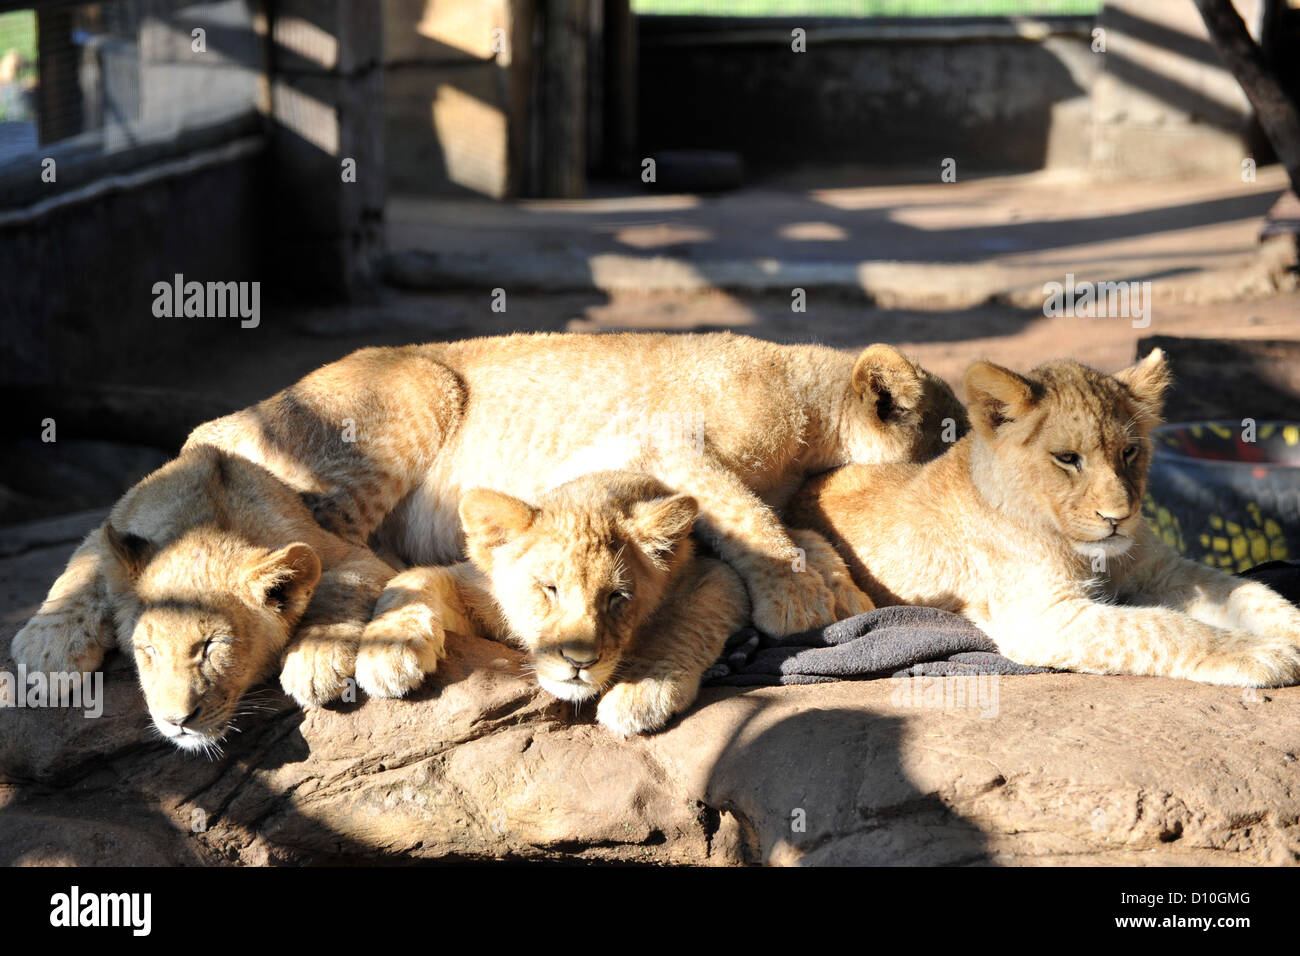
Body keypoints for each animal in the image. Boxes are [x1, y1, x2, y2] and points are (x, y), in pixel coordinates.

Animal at [357, 471, 873, 735]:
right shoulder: (475, 587)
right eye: (549, 590)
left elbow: (684, 627)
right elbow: (412, 578)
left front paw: (639, 692)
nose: (578, 662)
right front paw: (389, 654)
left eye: (617, 598)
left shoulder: (717, 576)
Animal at [788, 349, 1300, 687]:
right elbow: (1163, 628)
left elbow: (1249, 592)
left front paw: (1290, 630)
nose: (1118, 518)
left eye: (1129, 452)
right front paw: (1264, 653)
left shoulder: (1164, 570)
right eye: (1068, 458)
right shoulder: (1042, 617)